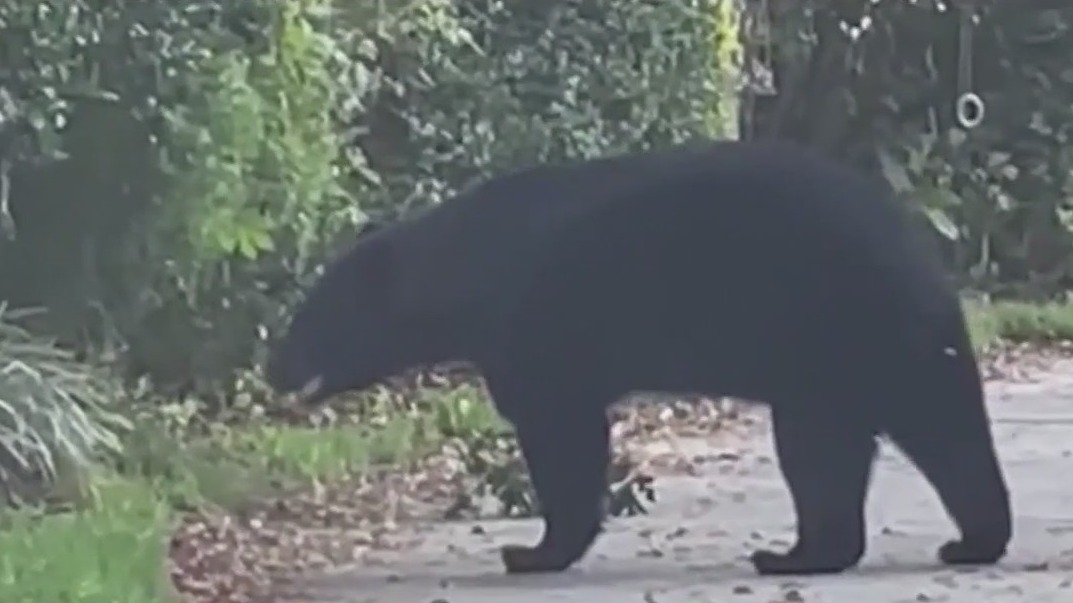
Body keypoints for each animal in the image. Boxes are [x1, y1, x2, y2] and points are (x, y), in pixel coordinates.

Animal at [266, 139, 1012, 577]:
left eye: (308, 319)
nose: (272, 367)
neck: (464, 274)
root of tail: (918, 246)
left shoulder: (532, 329)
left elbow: (560, 431)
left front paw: (533, 549)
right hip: (846, 352)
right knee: (885, 437)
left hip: (846, 324)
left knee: (886, 433)